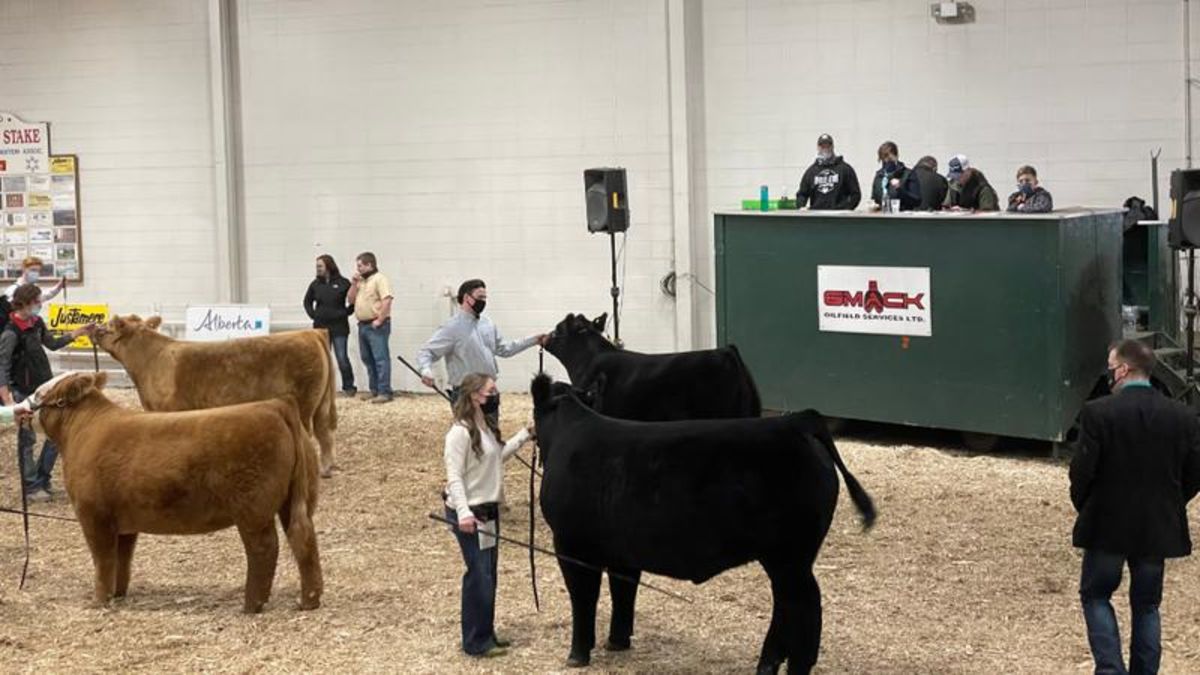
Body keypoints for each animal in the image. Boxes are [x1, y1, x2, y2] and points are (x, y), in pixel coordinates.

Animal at [32, 371, 322, 613]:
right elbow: (122, 558)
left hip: (253, 509)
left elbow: (103, 558)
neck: (83, 431)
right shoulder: (124, 523)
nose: (27, 404)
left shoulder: (93, 515)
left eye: (41, 392)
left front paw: (99, 600)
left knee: (264, 549)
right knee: (303, 537)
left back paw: (251, 605)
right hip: (293, 501)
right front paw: (118, 593)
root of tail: (276, 405)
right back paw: (309, 601)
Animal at [93, 315, 339, 477]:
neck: (150, 361)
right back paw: (326, 469)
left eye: (110, 326)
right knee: (324, 434)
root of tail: (310, 333)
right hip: (321, 404)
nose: (93, 327)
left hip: (305, 402)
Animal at [531, 374, 875, 674]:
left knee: (803, 606)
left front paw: (577, 654)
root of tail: (798, 421)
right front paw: (617, 641)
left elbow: (583, 597)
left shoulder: (570, 542)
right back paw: (768, 664)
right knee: (788, 605)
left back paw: (789, 667)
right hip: (789, 559)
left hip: (788, 556)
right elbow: (623, 589)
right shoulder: (620, 550)